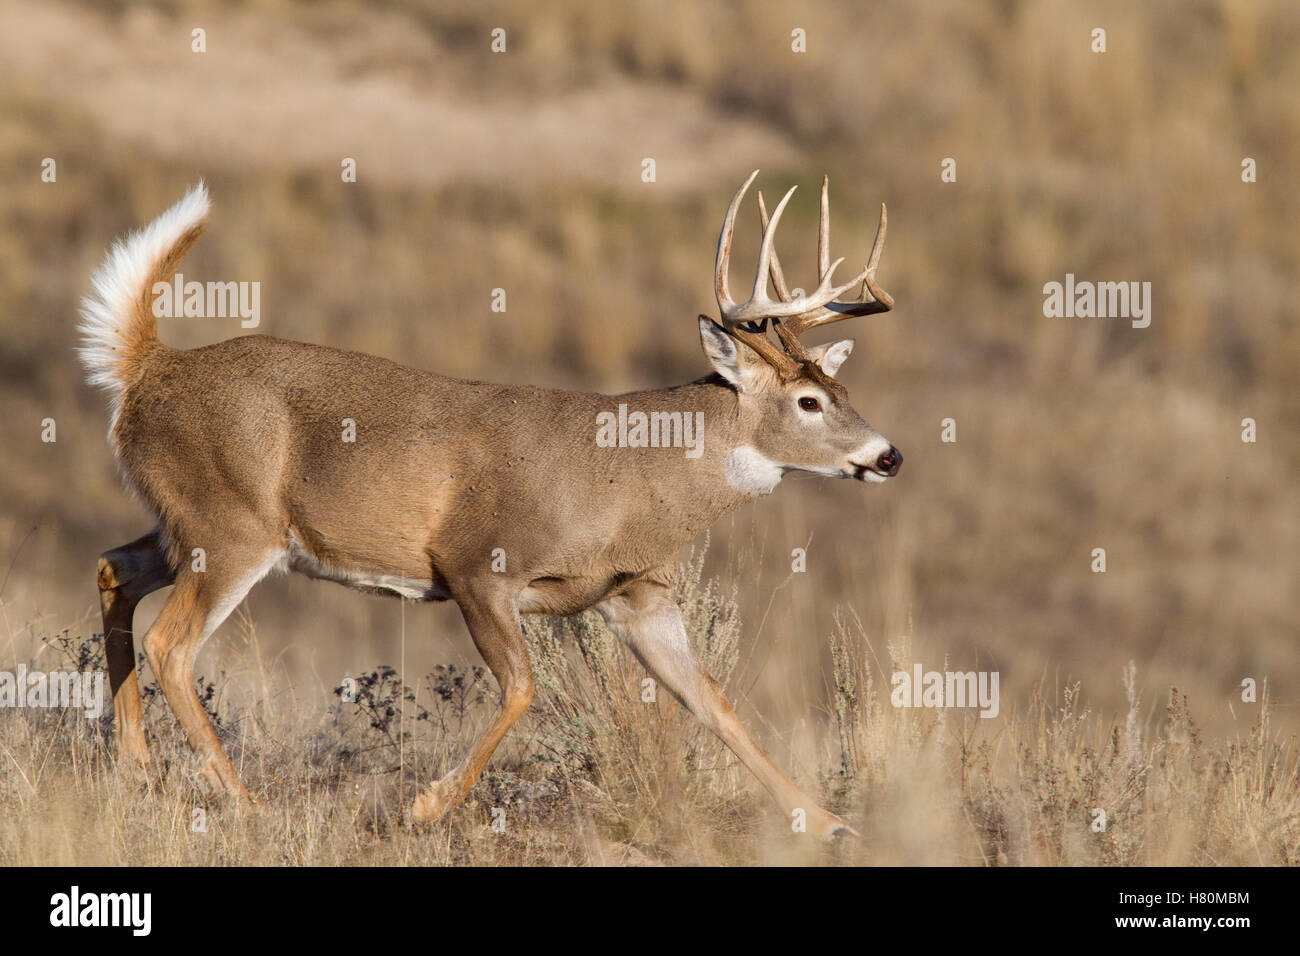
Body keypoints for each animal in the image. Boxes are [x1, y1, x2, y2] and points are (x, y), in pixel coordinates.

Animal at [83, 170, 901, 840]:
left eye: (842, 390)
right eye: (807, 402)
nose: (888, 455)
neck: (629, 476)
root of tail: (148, 371)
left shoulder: (638, 593)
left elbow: (711, 700)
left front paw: (828, 823)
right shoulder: (479, 565)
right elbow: (523, 687)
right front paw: (426, 805)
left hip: (183, 523)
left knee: (114, 568)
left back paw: (137, 766)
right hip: (231, 528)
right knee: (173, 644)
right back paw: (243, 803)